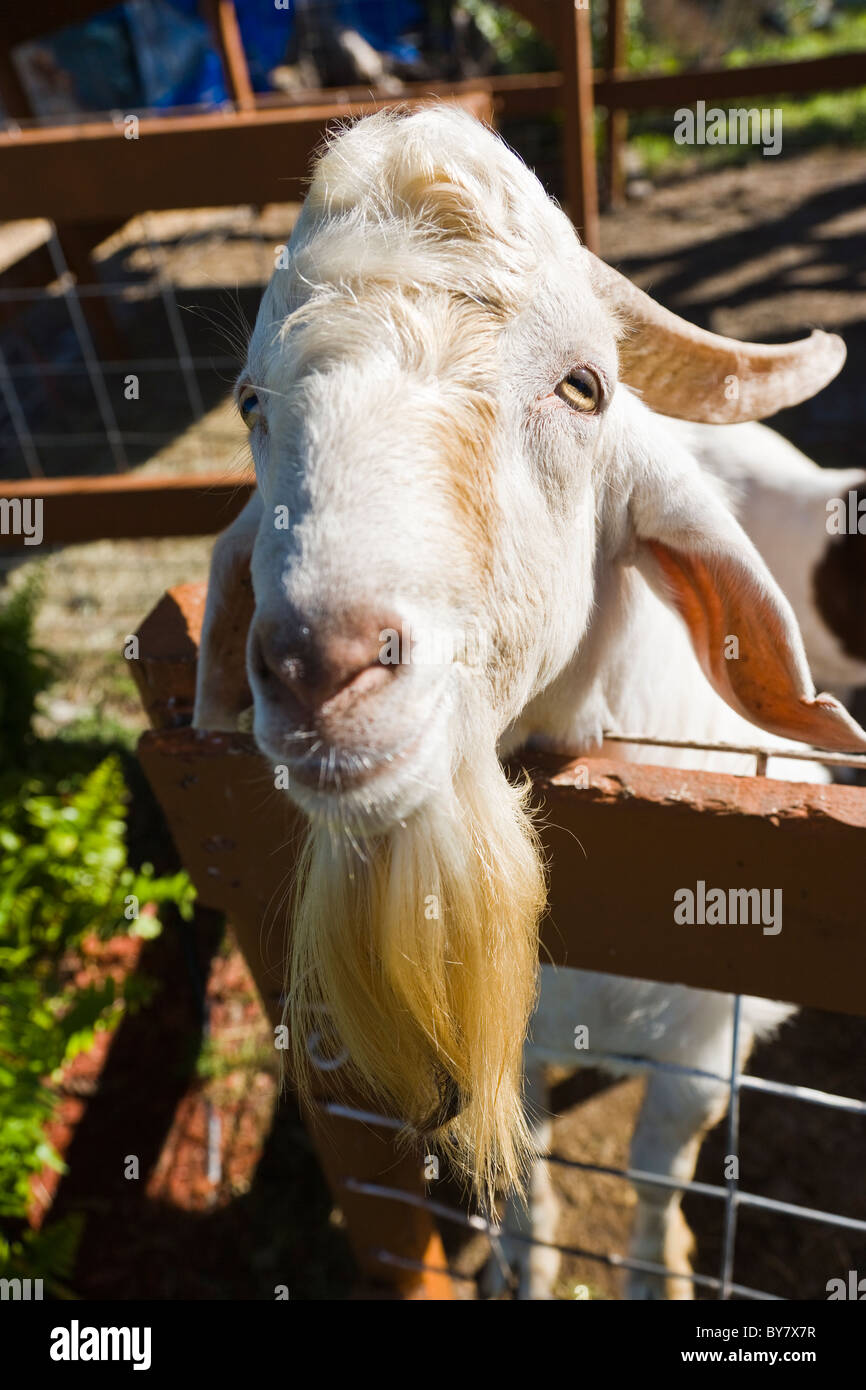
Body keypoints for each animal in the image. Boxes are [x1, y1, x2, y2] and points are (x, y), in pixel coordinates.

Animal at [193, 106, 866, 1296]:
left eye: (584, 386)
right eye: (251, 402)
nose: (321, 664)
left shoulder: (706, 1045)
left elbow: (655, 1168)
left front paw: (654, 1271)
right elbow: (525, 1159)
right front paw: (521, 1261)